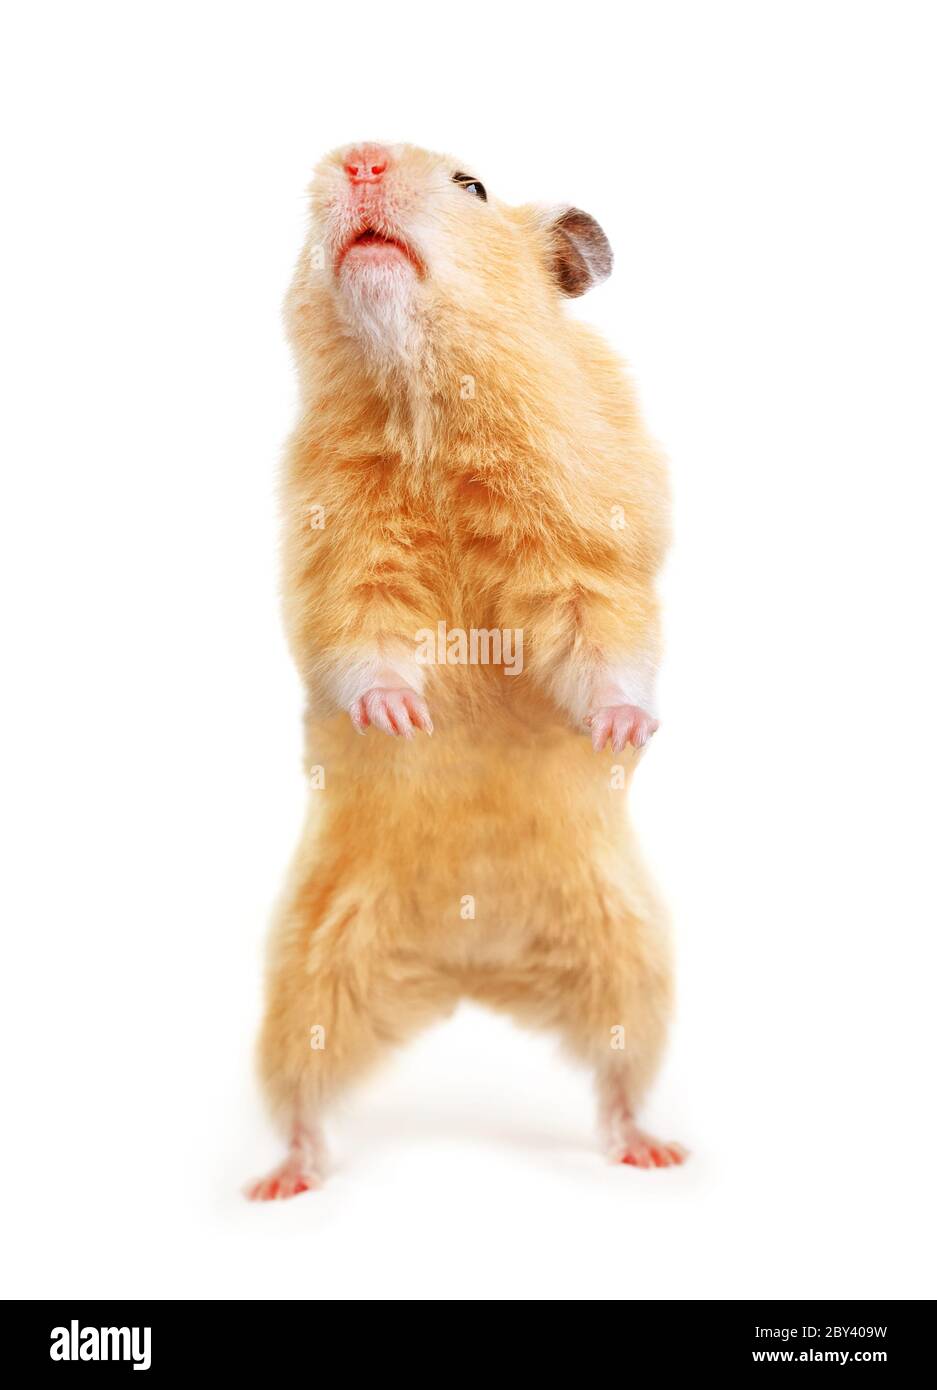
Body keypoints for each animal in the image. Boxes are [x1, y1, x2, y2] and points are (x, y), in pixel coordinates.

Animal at [245, 142, 685, 1200]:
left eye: (471, 186)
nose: (357, 158)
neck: (425, 404)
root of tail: (471, 966)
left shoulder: (590, 552)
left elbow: (607, 643)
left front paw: (622, 730)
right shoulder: (342, 566)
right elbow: (364, 645)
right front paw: (400, 722)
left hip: (632, 959)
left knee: (619, 1075)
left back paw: (652, 1152)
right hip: (305, 975)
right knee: (302, 1094)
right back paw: (281, 1181)